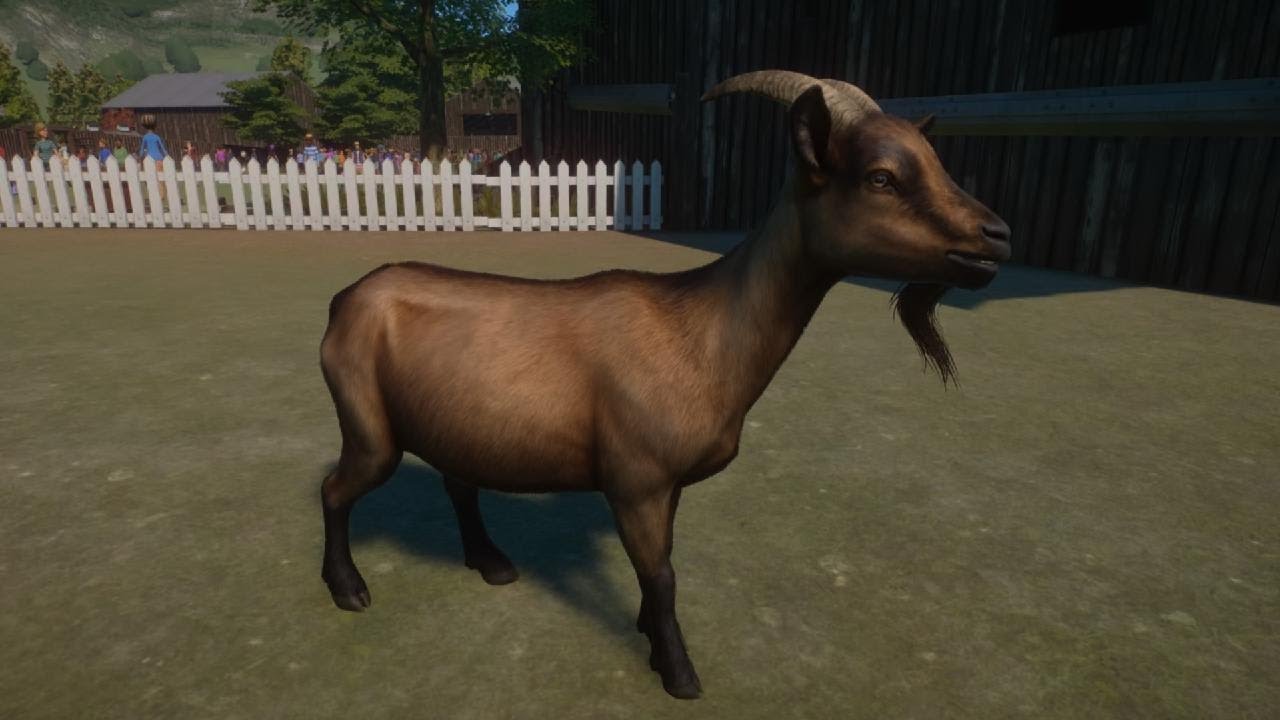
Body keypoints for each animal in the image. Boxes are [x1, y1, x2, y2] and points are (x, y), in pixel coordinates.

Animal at [317, 70, 1011, 699]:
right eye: (880, 176)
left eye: (935, 161)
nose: (997, 237)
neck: (700, 329)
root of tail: (345, 299)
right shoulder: (637, 481)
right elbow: (662, 574)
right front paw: (679, 673)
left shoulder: (667, 486)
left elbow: (662, 566)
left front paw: (651, 638)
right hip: (368, 426)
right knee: (335, 489)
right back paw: (349, 590)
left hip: (451, 423)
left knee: (458, 482)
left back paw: (491, 563)